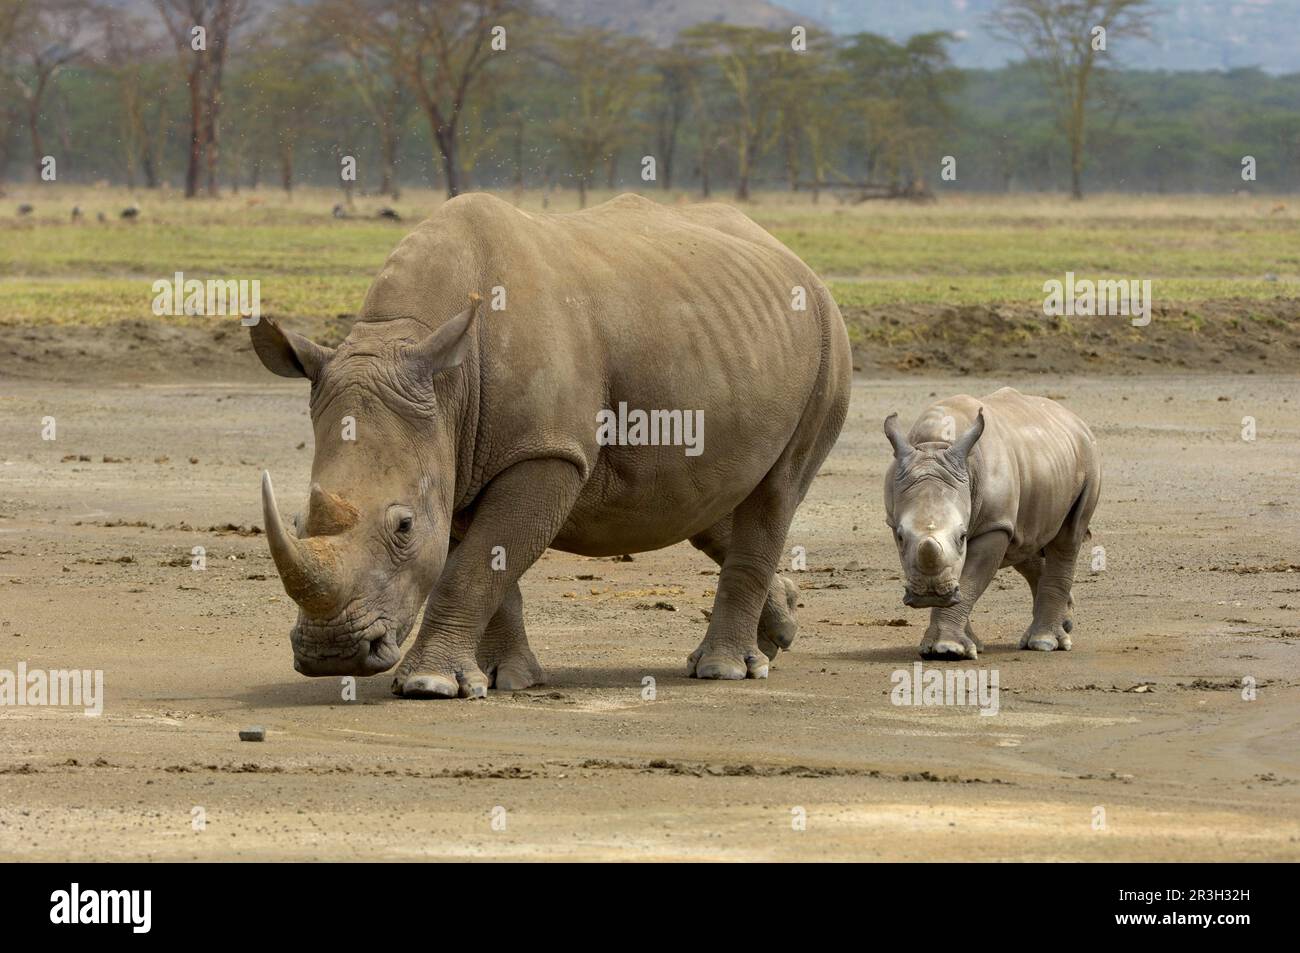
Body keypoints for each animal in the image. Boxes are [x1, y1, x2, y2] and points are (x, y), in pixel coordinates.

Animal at [251, 193, 851, 698]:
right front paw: (505, 679)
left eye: (404, 527)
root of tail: (796, 261)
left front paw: (430, 684)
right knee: (706, 502)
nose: (332, 655)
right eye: (298, 522)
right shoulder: (461, 452)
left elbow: (474, 565)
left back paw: (723, 669)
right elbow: (488, 564)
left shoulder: (544, 451)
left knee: (776, 491)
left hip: (829, 341)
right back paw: (780, 630)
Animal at [882, 387, 1101, 659]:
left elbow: (970, 580)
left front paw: (947, 649)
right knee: (1024, 544)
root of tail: (1073, 418)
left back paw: (1044, 643)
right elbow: (964, 579)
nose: (930, 593)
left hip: (1089, 457)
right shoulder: (894, 515)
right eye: (901, 537)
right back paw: (1064, 622)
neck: (935, 446)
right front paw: (970, 644)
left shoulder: (993, 525)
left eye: (962, 537)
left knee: (1068, 538)